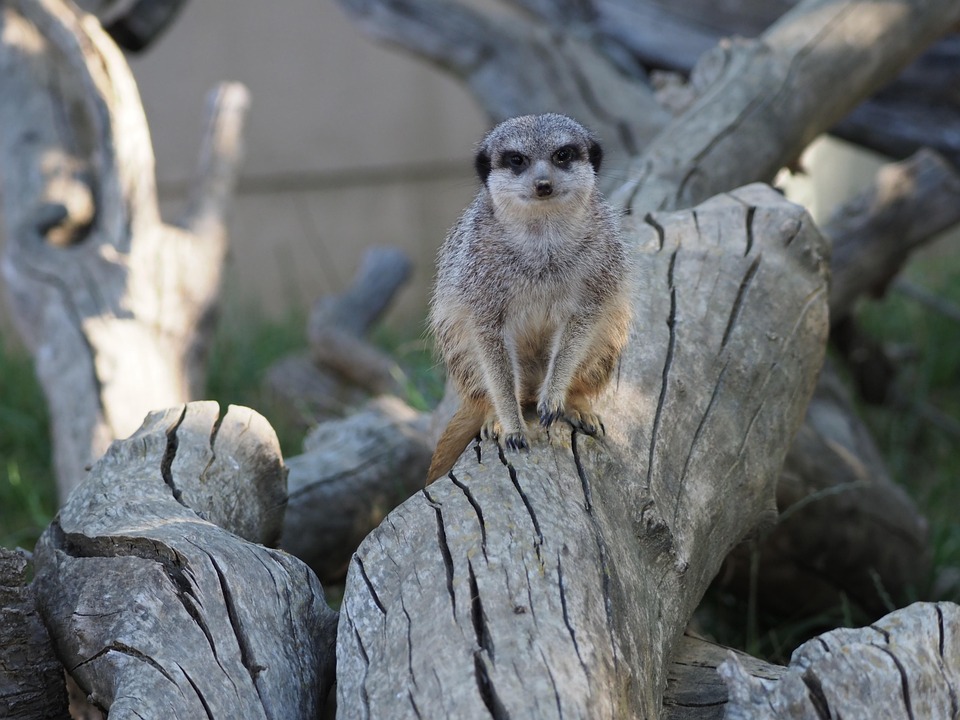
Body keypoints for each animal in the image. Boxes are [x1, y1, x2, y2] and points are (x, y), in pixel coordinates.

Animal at [426, 113, 631, 484]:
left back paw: (575, 403)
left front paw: (555, 398)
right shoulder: (478, 274)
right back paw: (493, 415)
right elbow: (488, 335)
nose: (543, 184)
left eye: (563, 154)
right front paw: (511, 425)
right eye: (516, 159)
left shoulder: (602, 262)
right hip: (458, 347)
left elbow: (584, 319)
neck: (542, 234)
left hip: (611, 333)